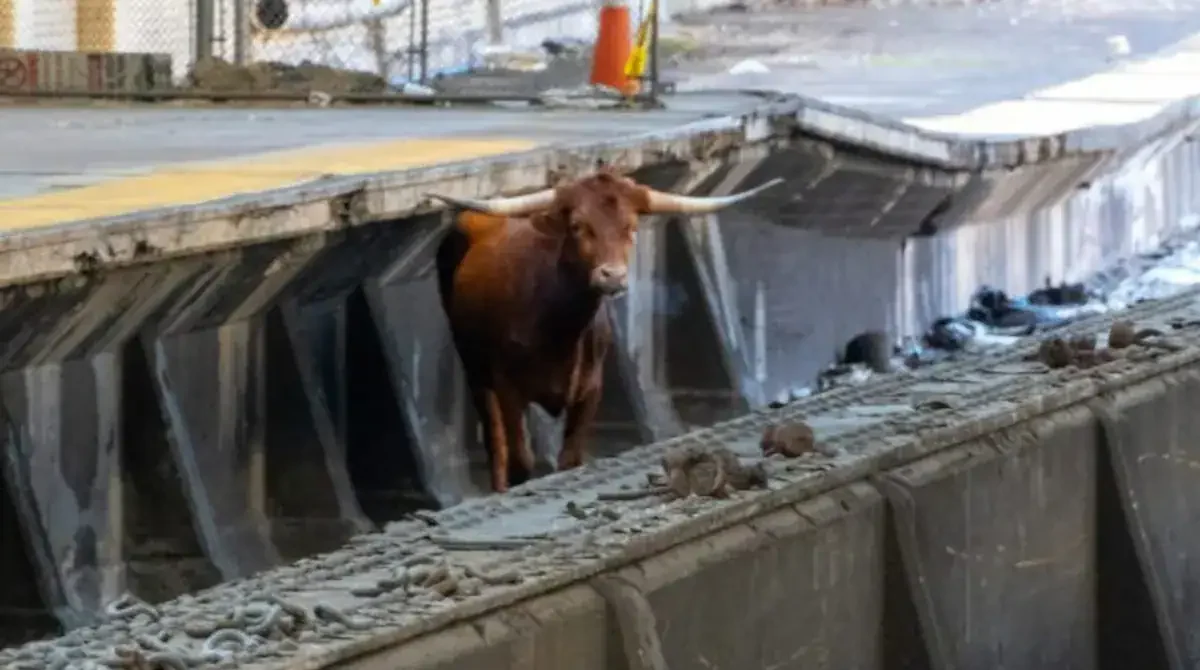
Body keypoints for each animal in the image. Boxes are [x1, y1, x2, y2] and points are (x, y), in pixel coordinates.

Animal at [428, 170, 782, 493]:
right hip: (475, 370)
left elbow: (569, 460)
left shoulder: (590, 389)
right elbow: (519, 462)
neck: (557, 330)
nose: (612, 276)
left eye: (631, 226)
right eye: (578, 226)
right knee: (495, 443)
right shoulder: (508, 388)